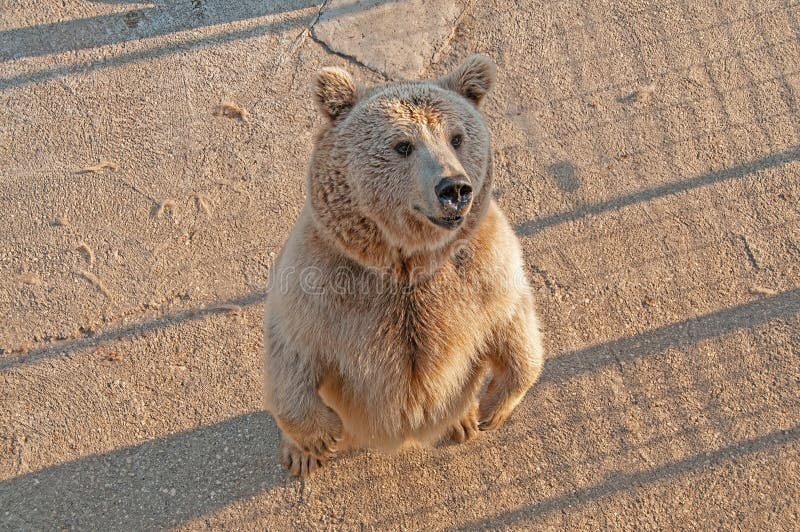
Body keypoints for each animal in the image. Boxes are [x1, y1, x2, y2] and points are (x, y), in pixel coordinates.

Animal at [263, 55, 544, 477]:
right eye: (403, 145)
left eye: (457, 137)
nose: (454, 188)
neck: (408, 261)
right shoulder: (326, 279)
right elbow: (293, 349)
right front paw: (318, 439)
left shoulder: (481, 267)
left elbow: (514, 327)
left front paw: (489, 411)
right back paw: (302, 452)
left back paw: (462, 421)